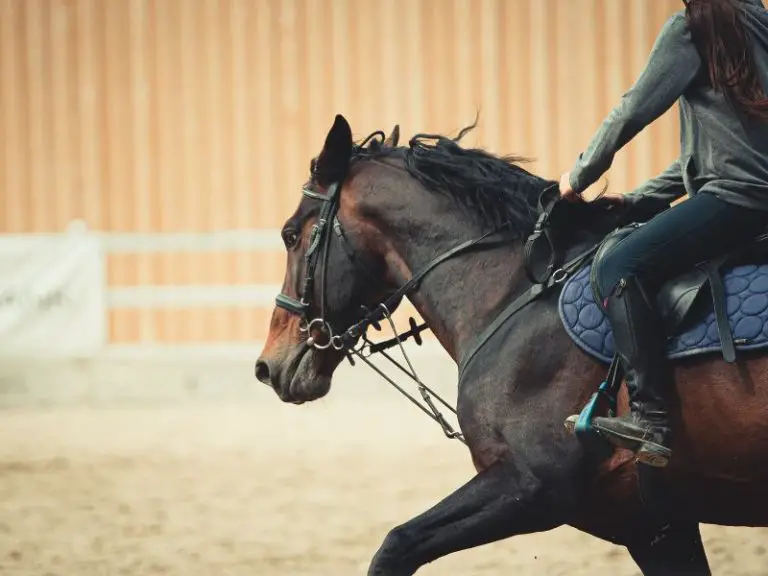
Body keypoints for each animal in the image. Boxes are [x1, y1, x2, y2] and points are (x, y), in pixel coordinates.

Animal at [255, 114, 768, 575]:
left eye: (290, 235)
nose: (267, 366)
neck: (513, 294)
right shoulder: (653, 526)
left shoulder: (531, 487)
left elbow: (395, 546)